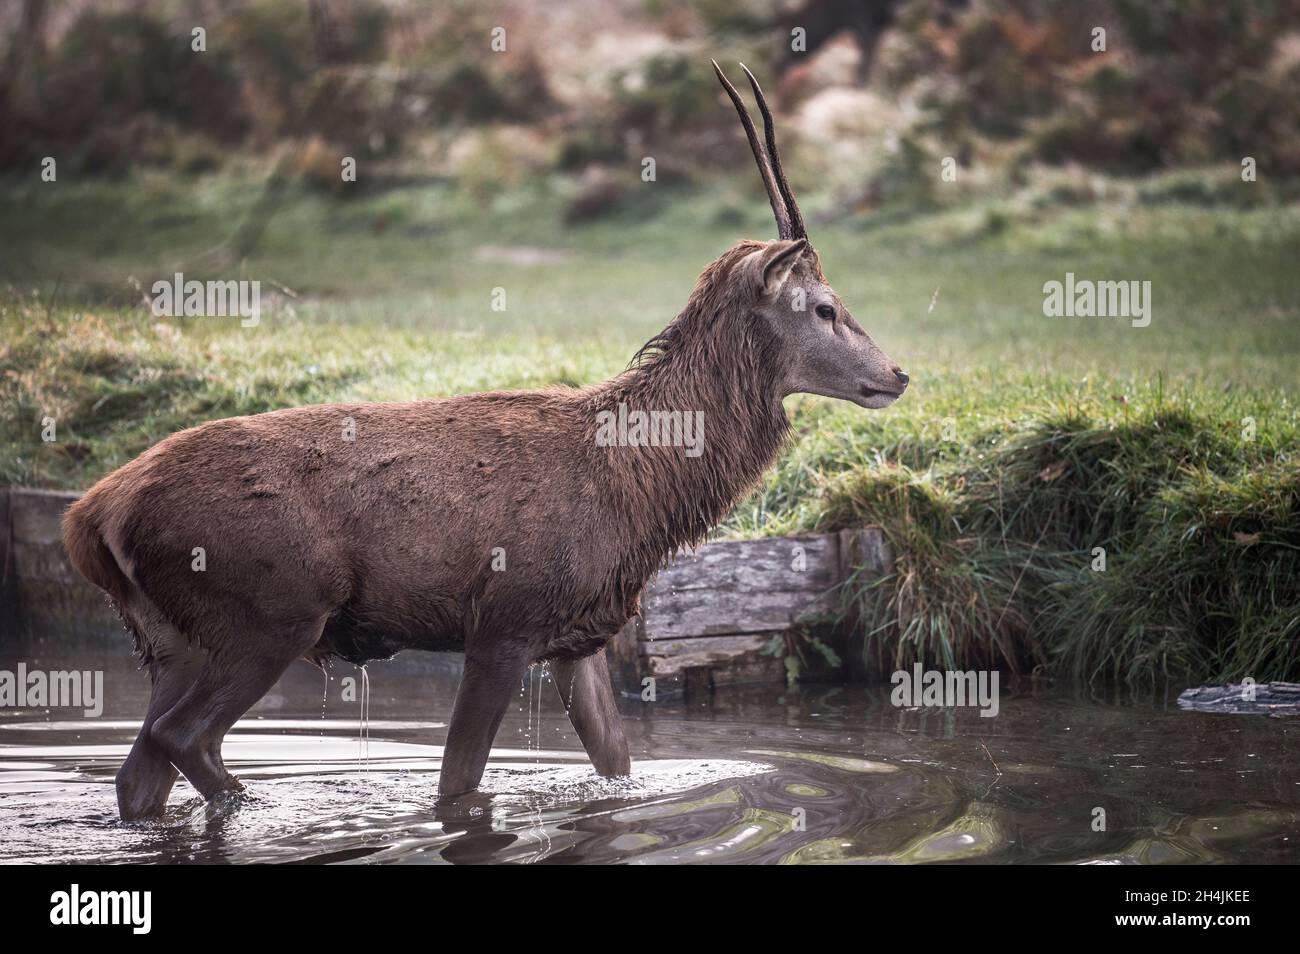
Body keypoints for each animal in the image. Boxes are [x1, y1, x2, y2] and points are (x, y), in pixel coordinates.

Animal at [63, 63, 908, 821]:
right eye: (824, 306)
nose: (897, 372)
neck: (638, 494)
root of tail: (91, 517)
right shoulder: (504, 619)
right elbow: (459, 786)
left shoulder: (579, 634)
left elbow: (617, 766)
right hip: (270, 610)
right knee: (184, 739)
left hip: (172, 637)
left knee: (141, 771)